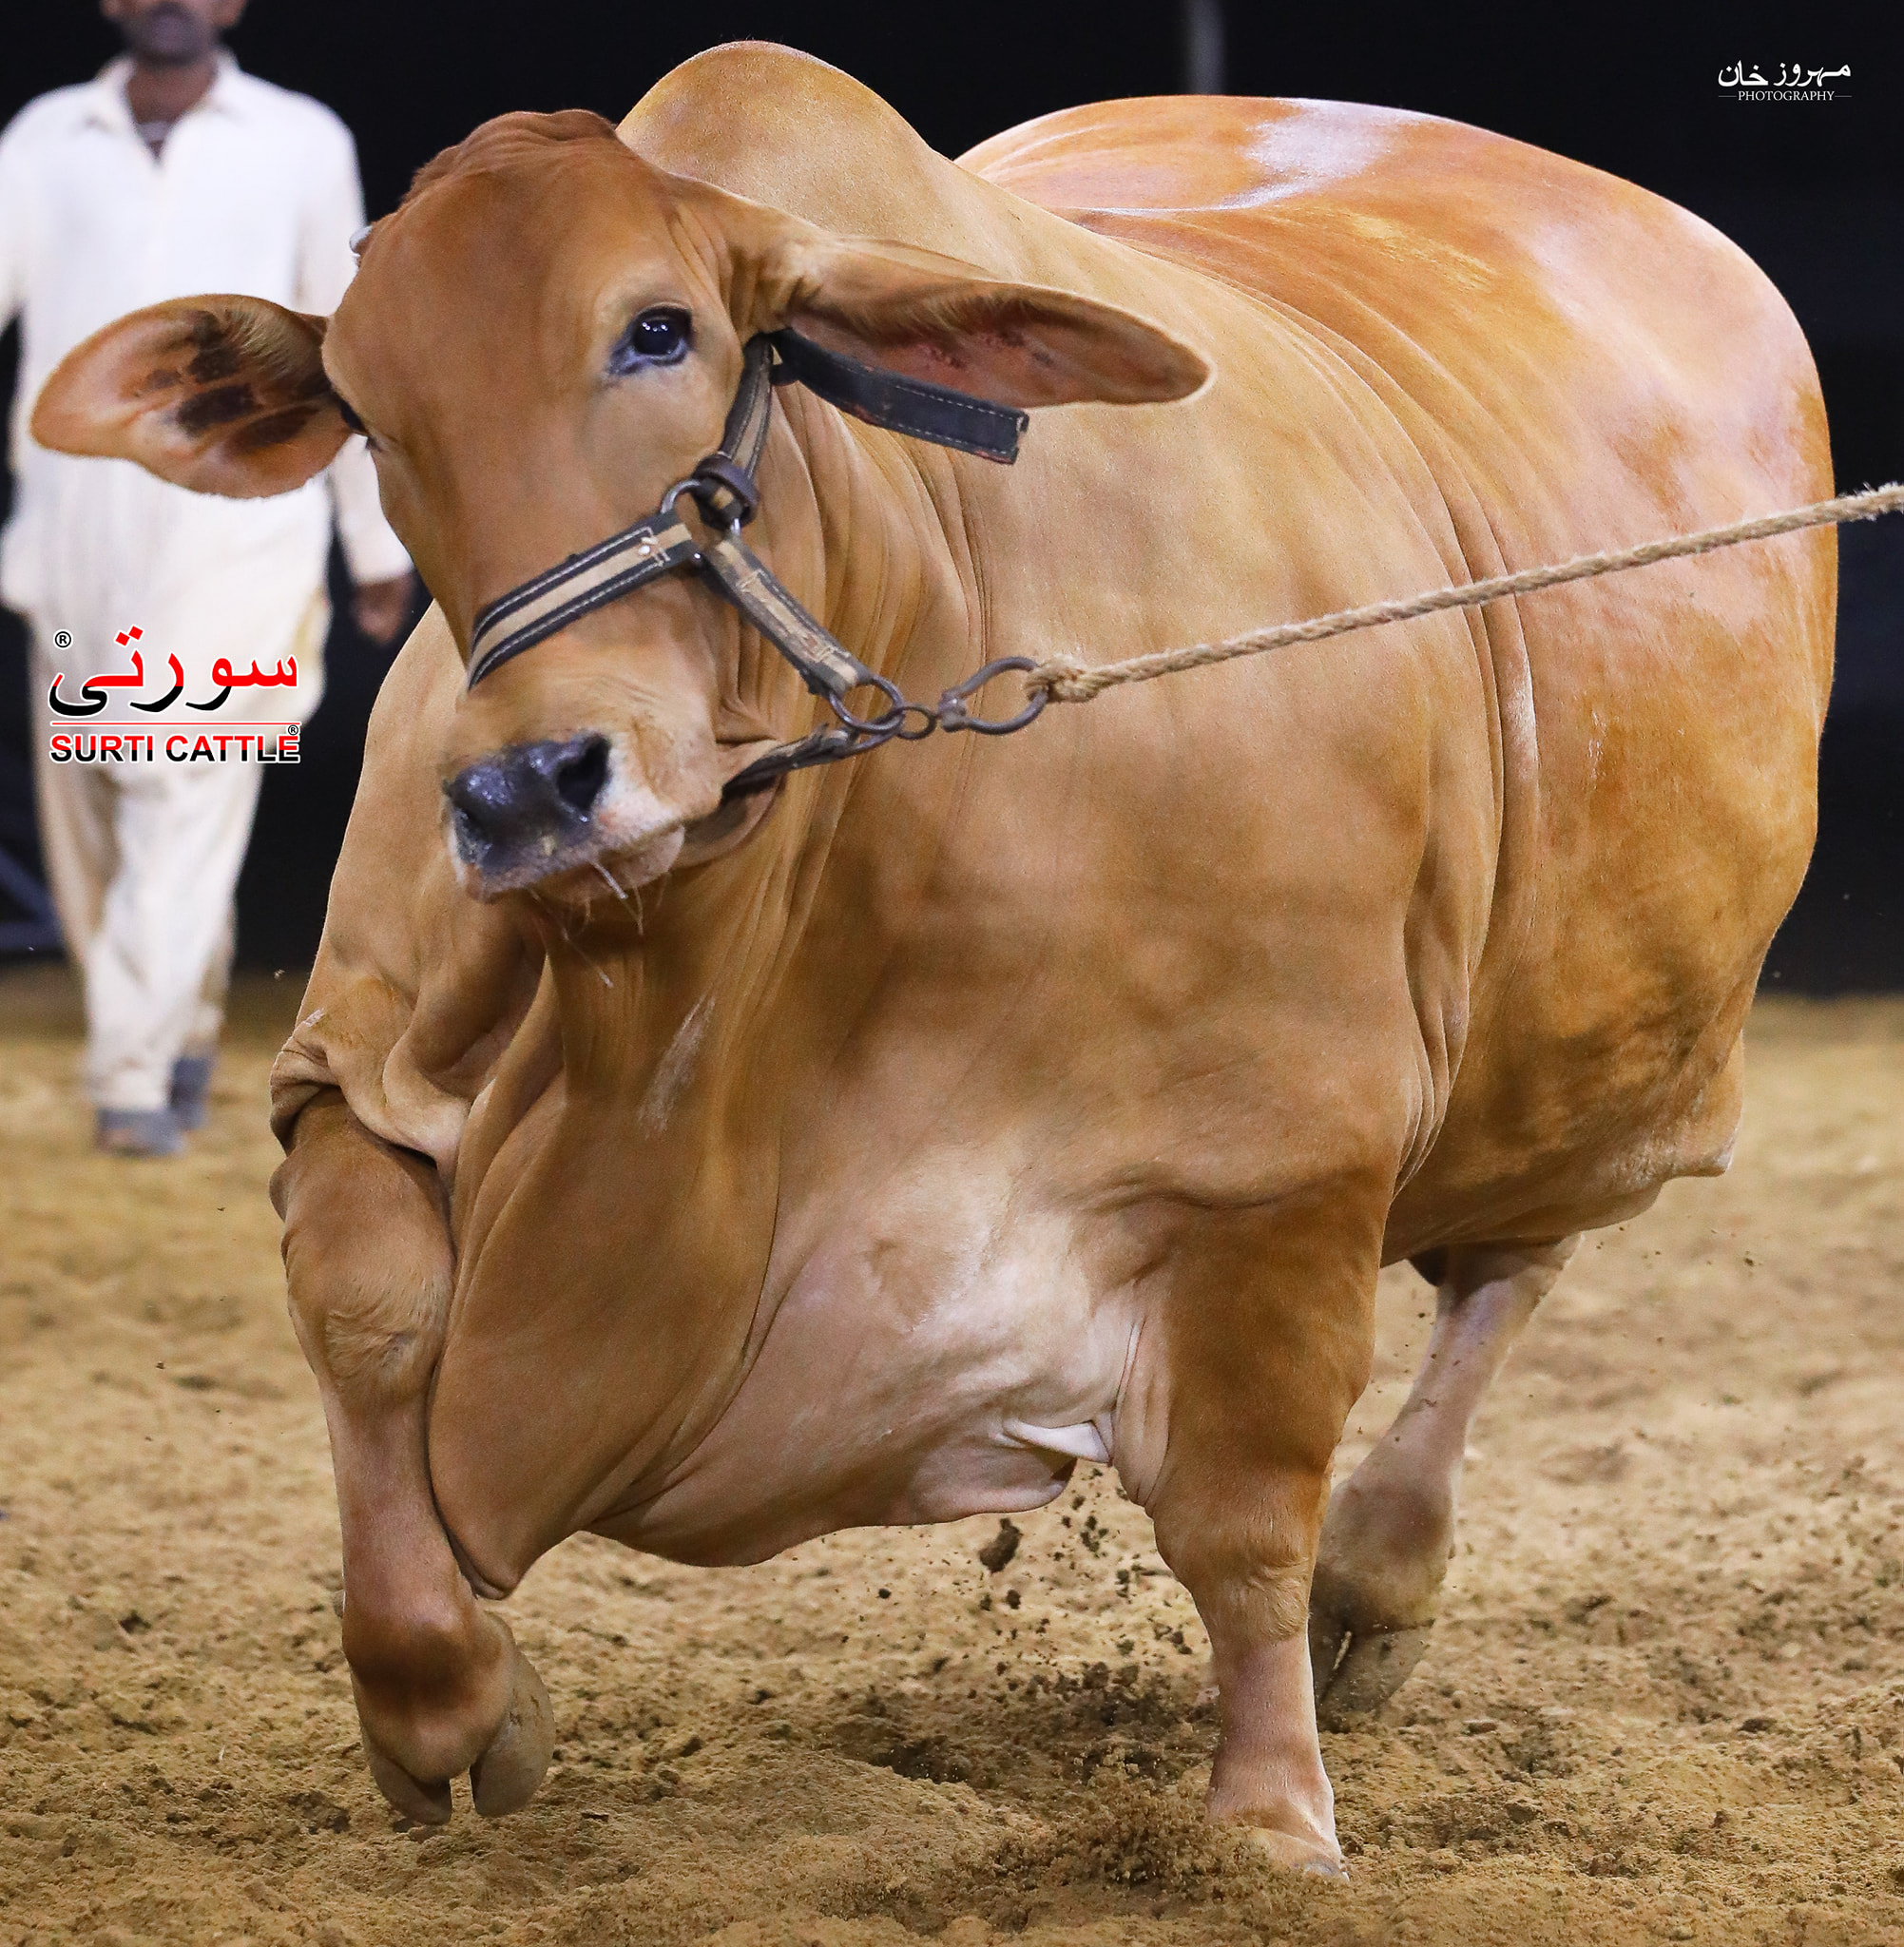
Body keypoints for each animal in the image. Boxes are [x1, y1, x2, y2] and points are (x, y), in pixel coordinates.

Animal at [32, 43, 1832, 1874]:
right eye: (369, 417)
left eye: (659, 329)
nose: (526, 788)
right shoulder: (358, 1059)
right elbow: (366, 1304)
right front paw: (443, 1703)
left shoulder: (1278, 1169)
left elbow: (1243, 1519)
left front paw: (1265, 1819)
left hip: (1601, 1063)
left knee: (1505, 1272)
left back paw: (1373, 1580)